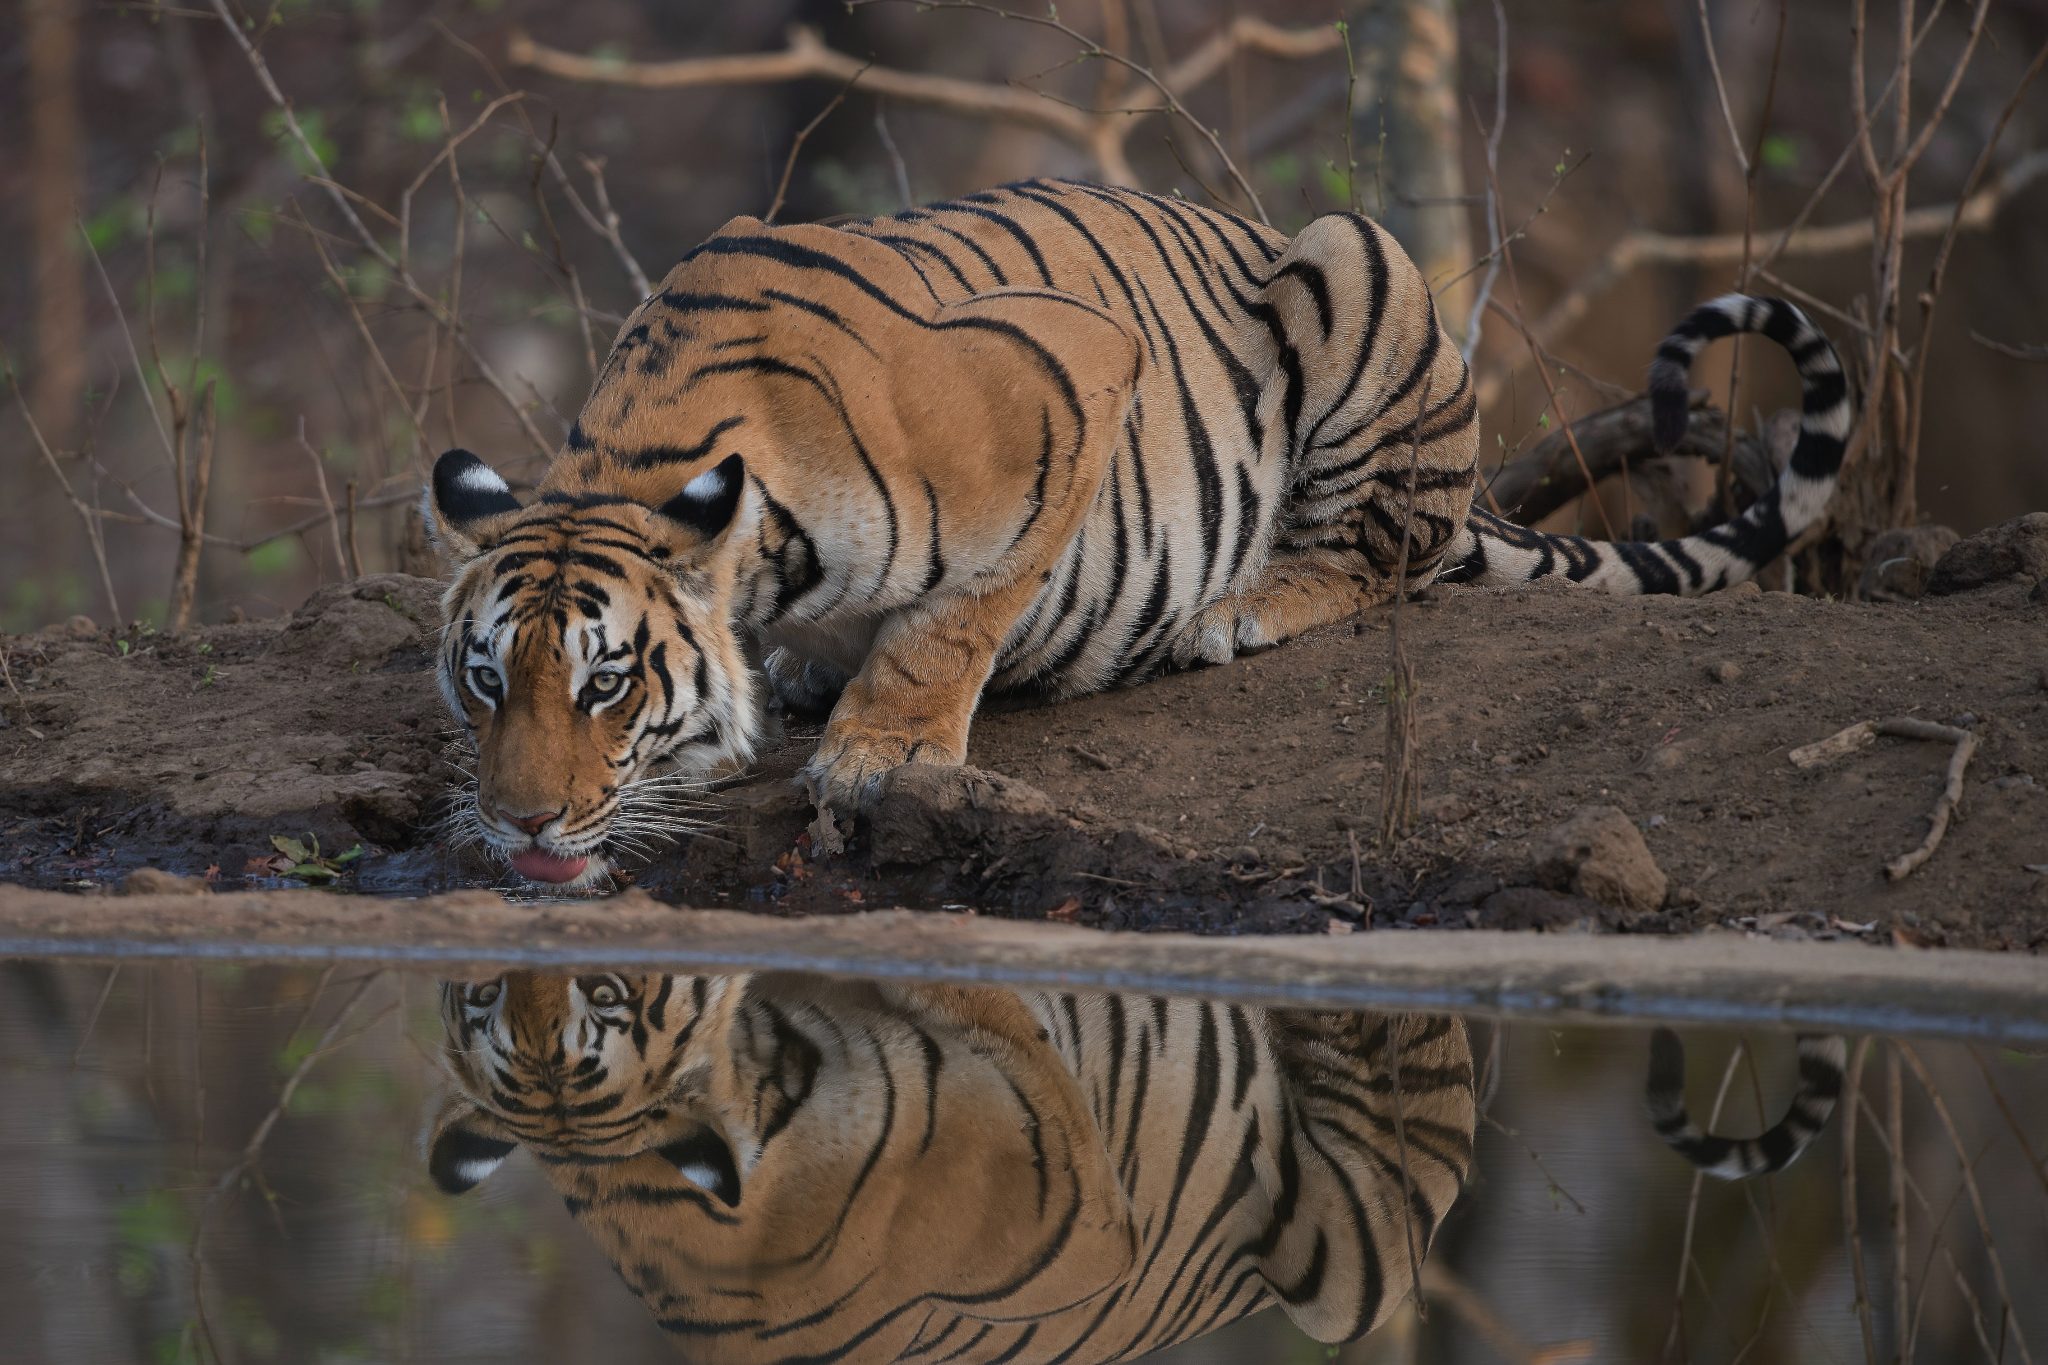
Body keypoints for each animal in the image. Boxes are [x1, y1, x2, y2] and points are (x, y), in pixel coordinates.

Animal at [423, 178, 1854, 885]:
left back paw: (1244, 607)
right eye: (486, 681)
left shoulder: (1068, 375)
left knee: (1381, 557)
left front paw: (880, 752)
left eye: (606, 684)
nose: (519, 826)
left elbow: (955, 619)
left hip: (1353, 264)